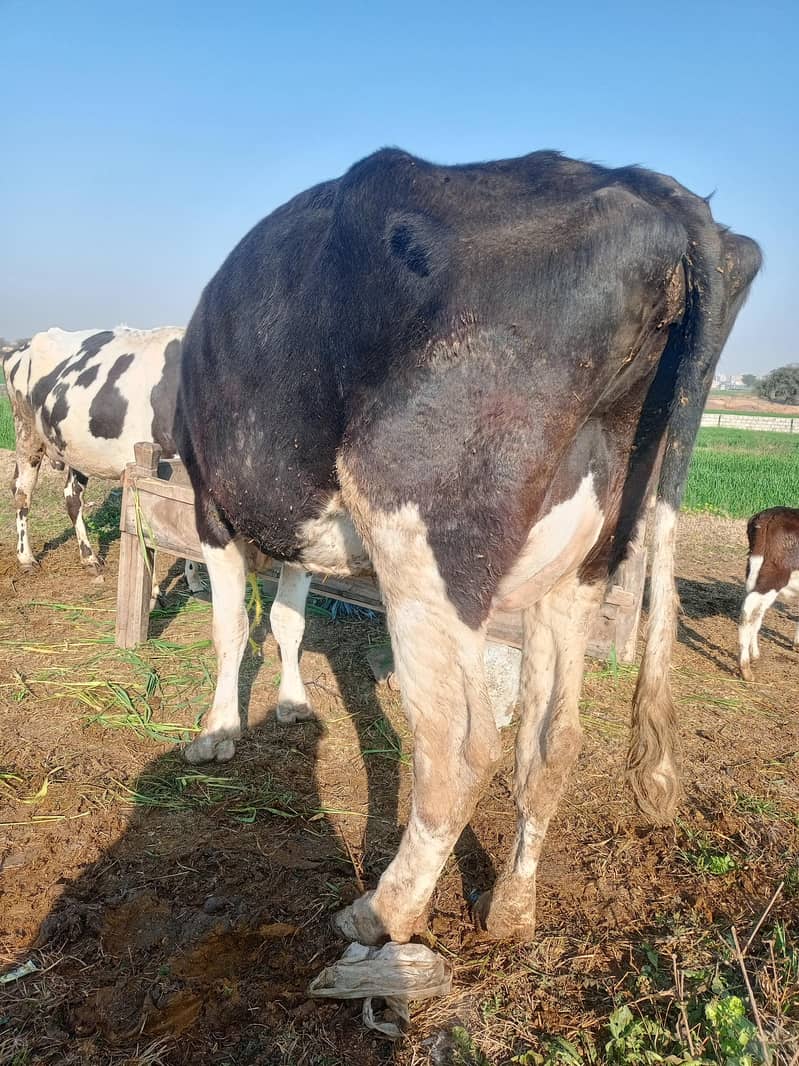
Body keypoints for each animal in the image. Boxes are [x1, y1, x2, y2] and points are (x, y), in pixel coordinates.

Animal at [3, 327, 203, 594]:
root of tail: (21, 347)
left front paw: (194, 579)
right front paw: (153, 590)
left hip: (77, 449)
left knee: (72, 497)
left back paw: (89, 558)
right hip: (26, 434)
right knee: (22, 492)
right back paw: (26, 558)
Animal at [176, 148, 760, 944]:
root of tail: (659, 192)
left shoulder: (212, 504)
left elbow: (232, 627)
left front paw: (218, 732)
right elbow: (288, 618)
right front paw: (290, 705)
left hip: (422, 524)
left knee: (458, 746)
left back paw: (380, 910)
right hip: (586, 554)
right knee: (553, 739)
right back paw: (510, 909)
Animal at [738, 507, 799, 681]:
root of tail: (770, 515)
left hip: (755, 569)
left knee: (757, 612)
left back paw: (754, 654)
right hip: (776, 575)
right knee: (750, 607)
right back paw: (745, 668)